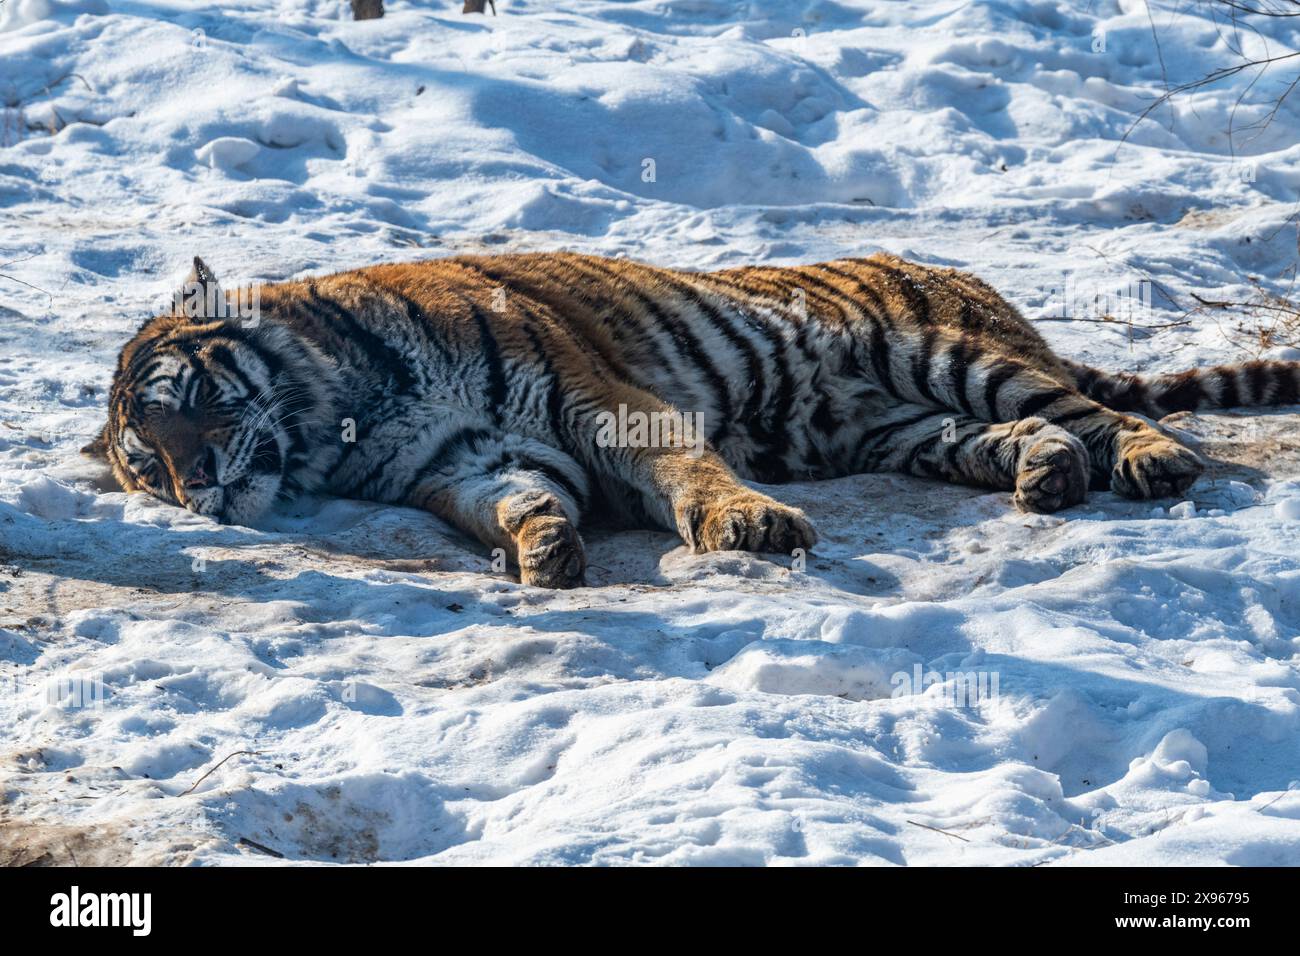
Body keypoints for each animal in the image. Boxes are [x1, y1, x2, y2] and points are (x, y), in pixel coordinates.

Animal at [85, 251, 1299, 588]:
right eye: (148, 466)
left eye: (191, 409)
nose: (200, 495)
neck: (338, 415)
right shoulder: (469, 458)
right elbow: (515, 501)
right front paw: (545, 549)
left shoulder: (603, 400)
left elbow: (689, 478)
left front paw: (746, 528)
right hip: (896, 425)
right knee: (1024, 439)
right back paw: (1044, 479)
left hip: (945, 354)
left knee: (1087, 410)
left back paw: (1150, 461)